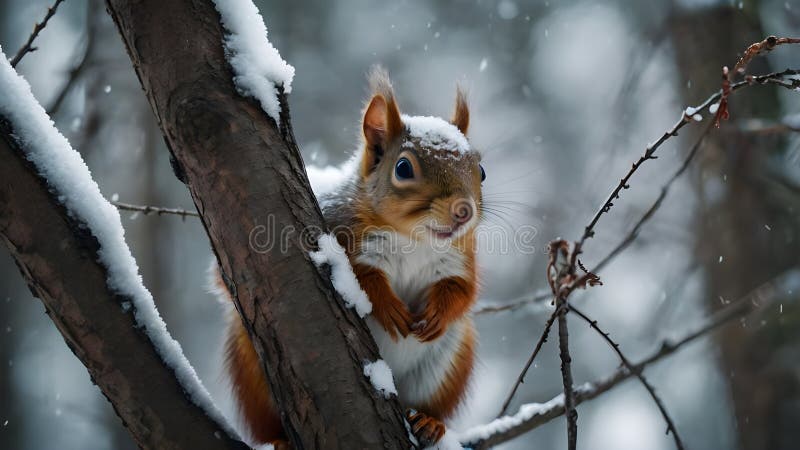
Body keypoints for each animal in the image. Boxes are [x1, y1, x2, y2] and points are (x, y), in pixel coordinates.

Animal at [218, 67, 484, 449]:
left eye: (481, 171)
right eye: (403, 169)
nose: (464, 210)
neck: (415, 241)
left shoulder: (460, 260)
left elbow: (463, 291)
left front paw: (438, 312)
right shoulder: (344, 233)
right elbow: (362, 277)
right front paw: (387, 305)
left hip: (447, 364)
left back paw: (430, 422)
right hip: (254, 368)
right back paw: (280, 439)